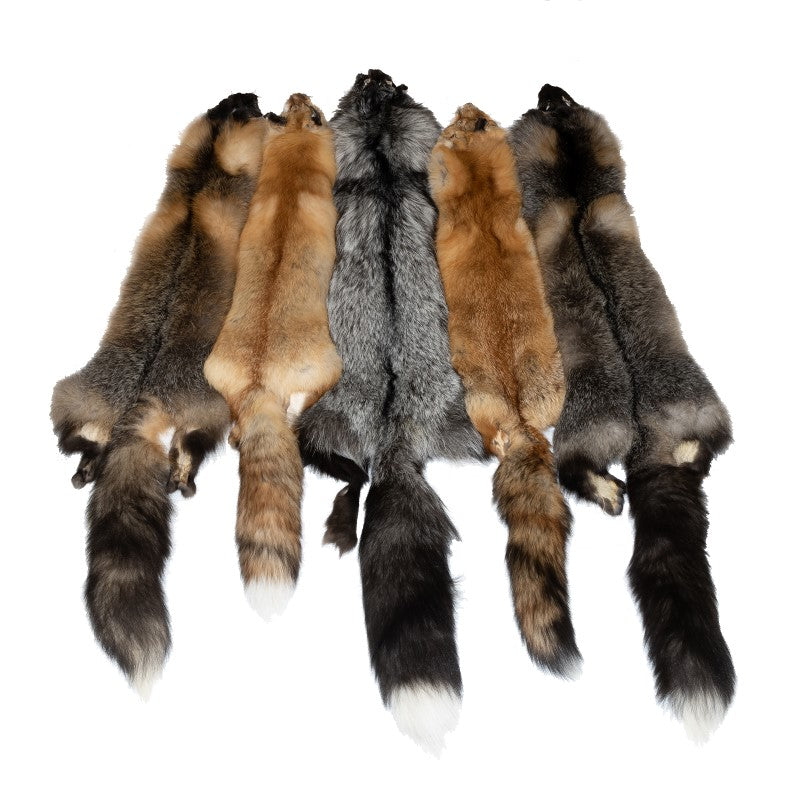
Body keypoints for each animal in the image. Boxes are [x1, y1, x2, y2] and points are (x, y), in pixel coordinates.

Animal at [52, 94, 265, 696]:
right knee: (191, 444)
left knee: (78, 440)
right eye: (251, 103)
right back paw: (182, 473)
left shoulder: (183, 159)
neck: (203, 174)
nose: (256, 102)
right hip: (209, 405)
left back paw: (88, 464)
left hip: (78, 393)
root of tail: (140, 397)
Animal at [204, 94, 343, 622]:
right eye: (314, 109)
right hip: (331, 367)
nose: (300, 95)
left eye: (292, 104)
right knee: (301, 408)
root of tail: (259, 381)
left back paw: (241, 434)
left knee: (239, 428)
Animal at [298, 71, 483, 755]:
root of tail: (394, 433)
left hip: (327, 414)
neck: (381, 161)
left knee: (342, 470)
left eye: (387, 86)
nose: (373, 72)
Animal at [430, 103, 581, 682]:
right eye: (478, 118)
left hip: (477, 405)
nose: (469, 108)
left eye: (462, 119)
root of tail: (521, 420)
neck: (479, 193)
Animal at [513, 84, 735, 741]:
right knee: (710, 445)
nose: (547, 88)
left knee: (576, 470)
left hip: (581, 428)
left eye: (551, 98)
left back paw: (609, 493)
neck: (578, 184)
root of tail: (648, 429)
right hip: (702, 402)